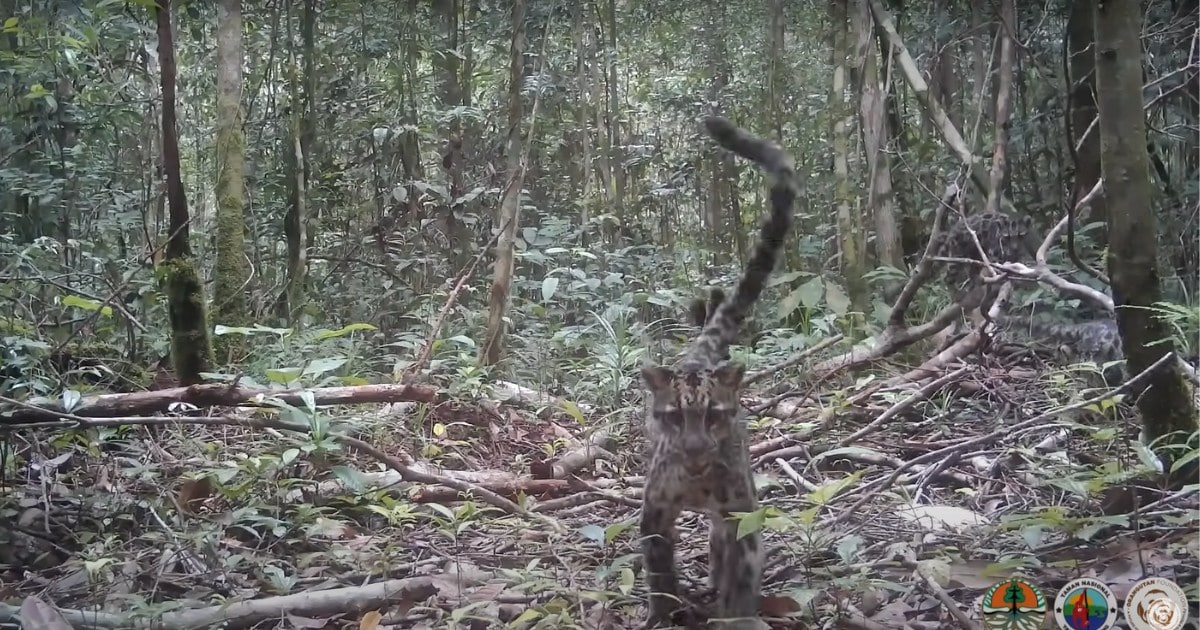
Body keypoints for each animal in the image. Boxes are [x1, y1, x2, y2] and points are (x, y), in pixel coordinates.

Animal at [638, 116, 796, 630]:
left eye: (712, 416)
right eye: (673, 417)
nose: (692, 450)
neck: (697, 483)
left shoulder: (740, 512)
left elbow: (741, 571)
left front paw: (736, 615)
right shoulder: (654, 510)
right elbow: (658, 569)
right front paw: (663, 612)